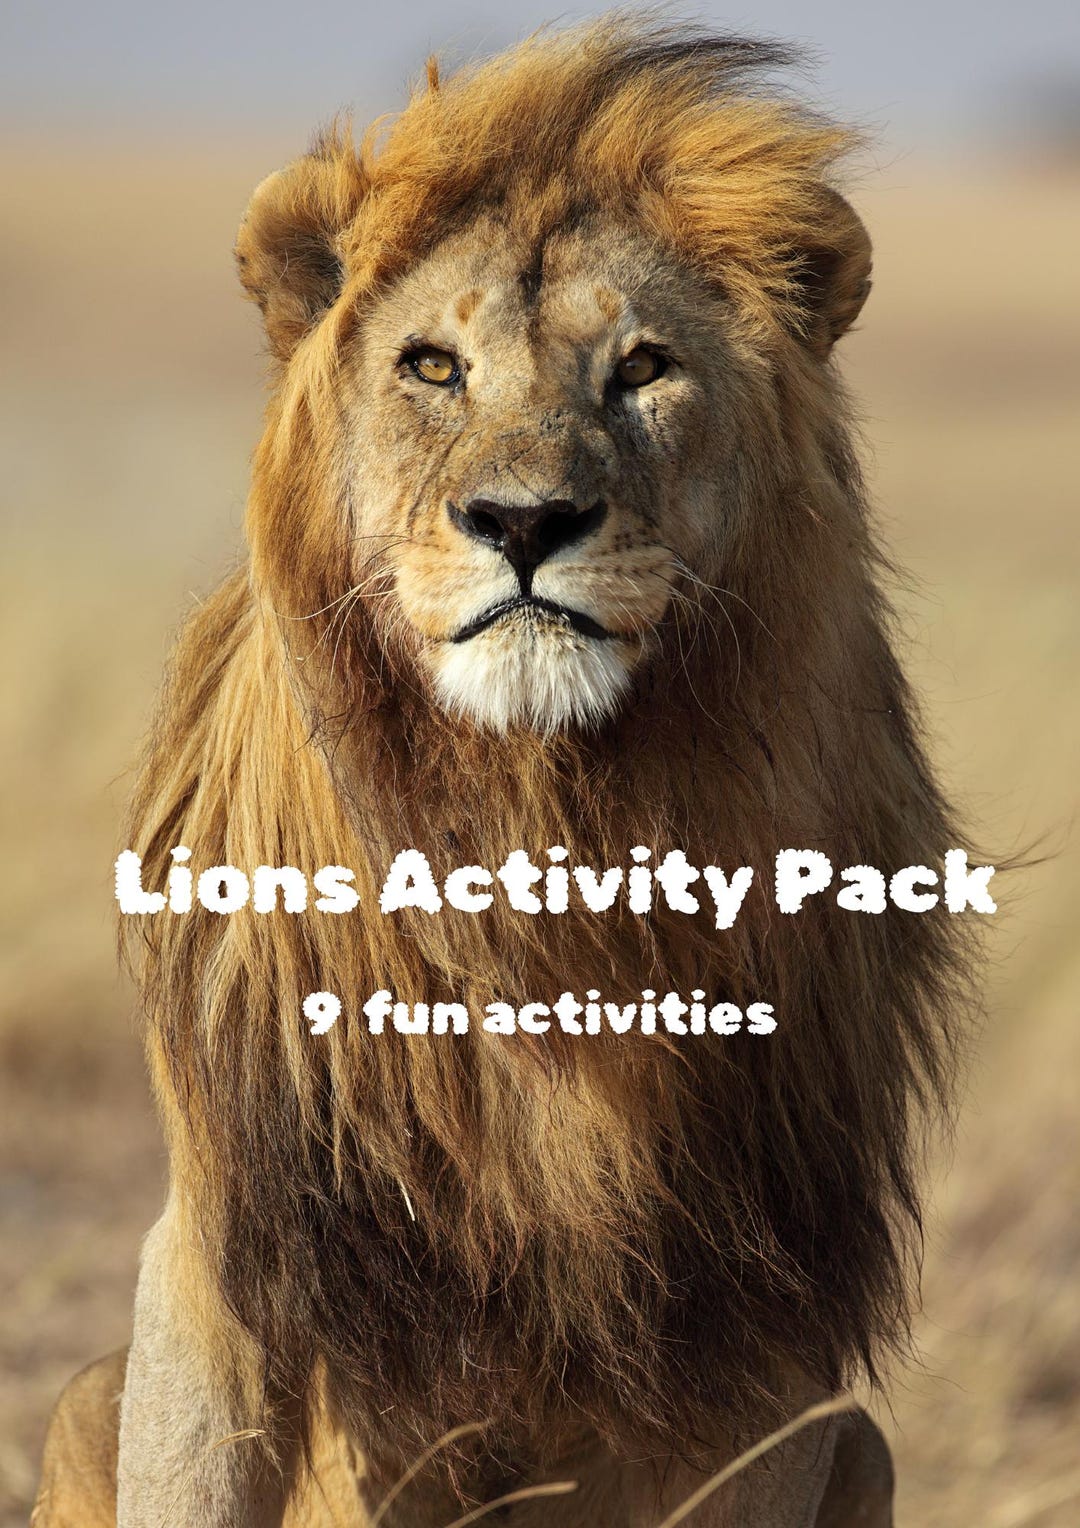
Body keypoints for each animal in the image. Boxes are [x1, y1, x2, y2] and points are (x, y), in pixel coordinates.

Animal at [33, 17, 971, 1526]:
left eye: (644, 368)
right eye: (432, 368)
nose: (526, 522)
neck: (539, 833)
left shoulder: (767, 1323)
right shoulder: (231, 1249)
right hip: (81, 1399)